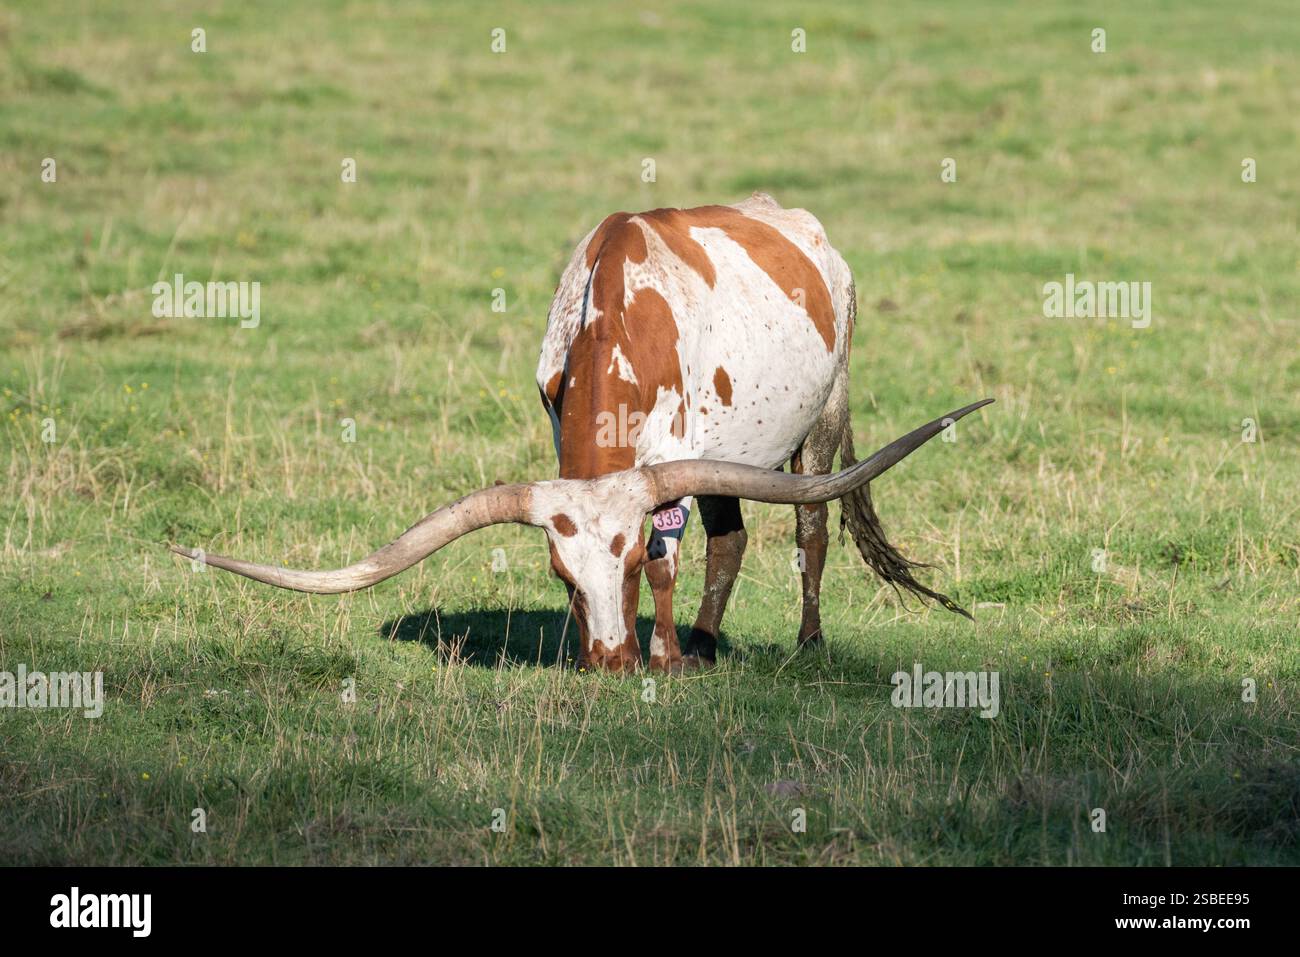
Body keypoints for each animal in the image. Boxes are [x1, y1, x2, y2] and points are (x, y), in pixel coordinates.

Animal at [172, 192, 990, 673]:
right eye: (562, 577)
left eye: (625, 567)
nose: (609, 662)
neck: (621, 316)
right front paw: (661, 652)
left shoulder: (672, 461)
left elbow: (669, 558)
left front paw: (660, 658)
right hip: (729, 447)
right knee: (731, 539)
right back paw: (703, 644)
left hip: (822, 416)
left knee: (811, 527)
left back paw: (804, 645)